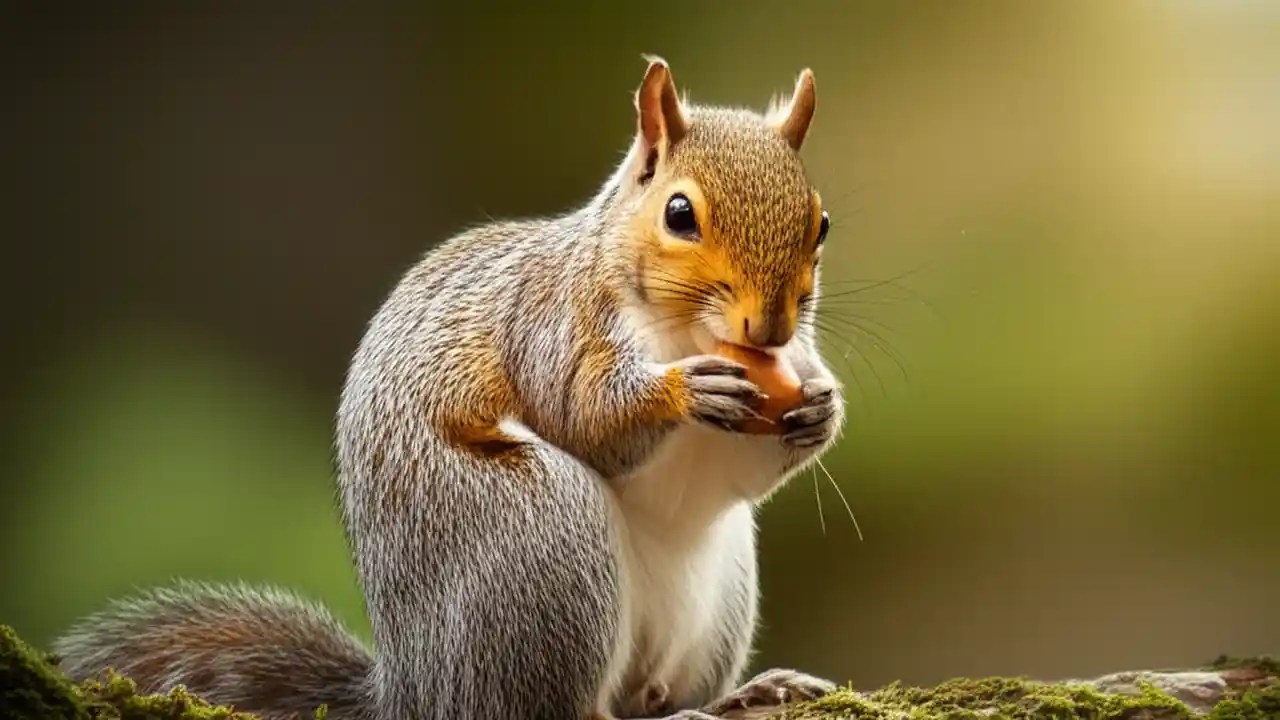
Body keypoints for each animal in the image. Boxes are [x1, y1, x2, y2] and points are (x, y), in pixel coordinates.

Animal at [52, 57, 846, 720]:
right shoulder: (550, 325)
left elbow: (741, 472)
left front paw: (820, 410)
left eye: (823, 222)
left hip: (717, 589)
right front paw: (684, 391)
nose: (771, 327)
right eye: (679, 215)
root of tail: (415, 687)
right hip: (544, 539)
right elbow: (585, 416)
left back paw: (739, 696)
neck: (683, 330)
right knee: (557, 709)